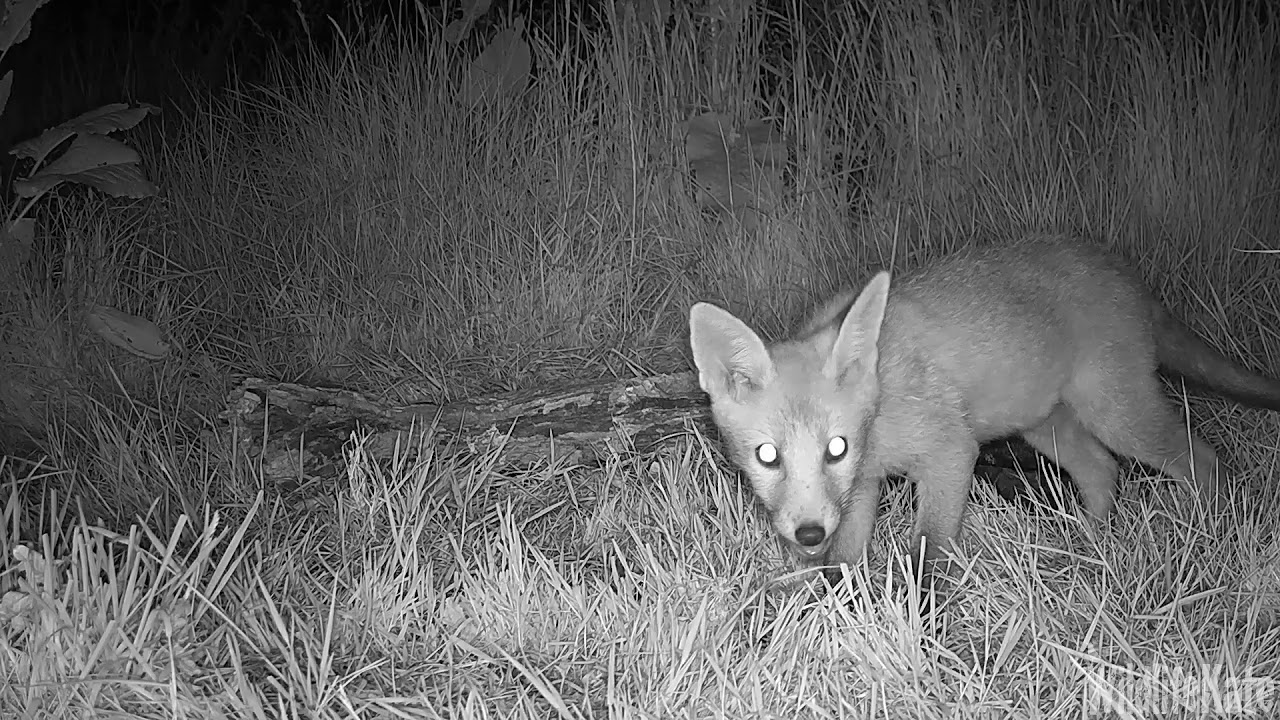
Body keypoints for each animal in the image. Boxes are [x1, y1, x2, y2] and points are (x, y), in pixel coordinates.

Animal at [689, 235, 1280, 588]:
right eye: (768, 456)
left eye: (836, 447)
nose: (808, 534)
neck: (881, 410)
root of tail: (1125, 273)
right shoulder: (862, 487)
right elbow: (847, 562)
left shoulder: (952, 454)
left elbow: (927, 554)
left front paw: (921, 628)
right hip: (1046, 424)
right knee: (1102, 471)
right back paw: (1088, 550)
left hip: (1118, 413)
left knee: (1201, 460)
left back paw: (1211, 534)